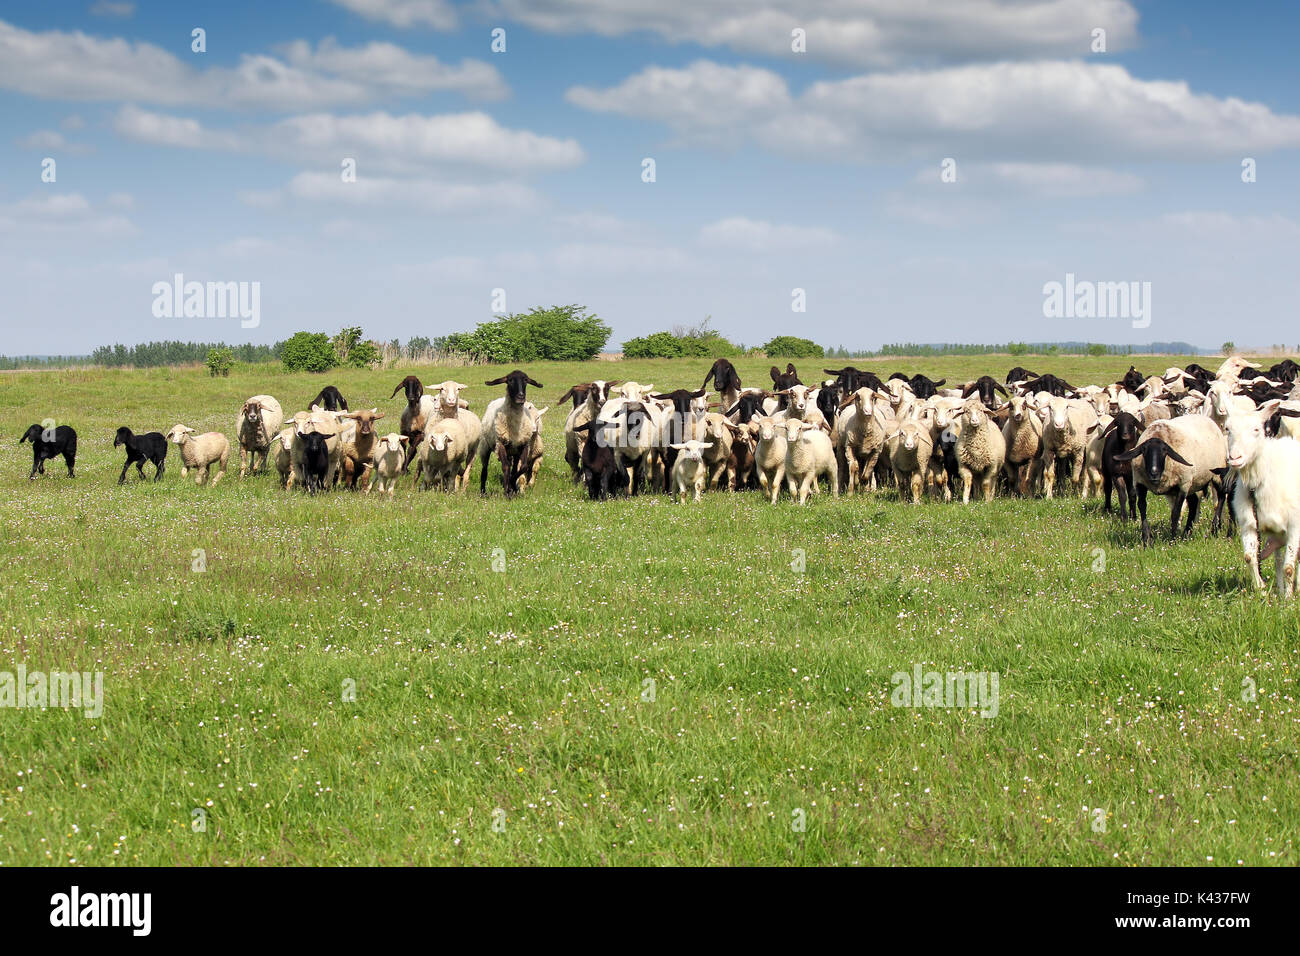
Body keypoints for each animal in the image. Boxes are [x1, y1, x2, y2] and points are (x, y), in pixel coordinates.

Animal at [1114, 415, 1228, 545]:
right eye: (1144, 452)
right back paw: (1186, 533)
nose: (1154, 473)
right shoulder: (1140, 483)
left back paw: (1214, 528)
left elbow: (1175, 513)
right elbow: (1142, 508)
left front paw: (1173, 539)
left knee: (1221, 496)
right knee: (1194, 502)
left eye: (1165, 452)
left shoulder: (1182, 485)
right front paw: (1147, 540)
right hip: (1193, 483)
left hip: (1216, 474)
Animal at [1221, 400, 1300, 597]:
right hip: (1277, 534)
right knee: (1278, 559)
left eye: (1256, 429)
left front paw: (1289, 599)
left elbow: (1289, 567)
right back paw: (1279, 589)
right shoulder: (1249, 523)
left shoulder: (1295, 526)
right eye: (1227, 429)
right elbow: (1250, 557)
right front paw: (1261, 589)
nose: (1234, 457)